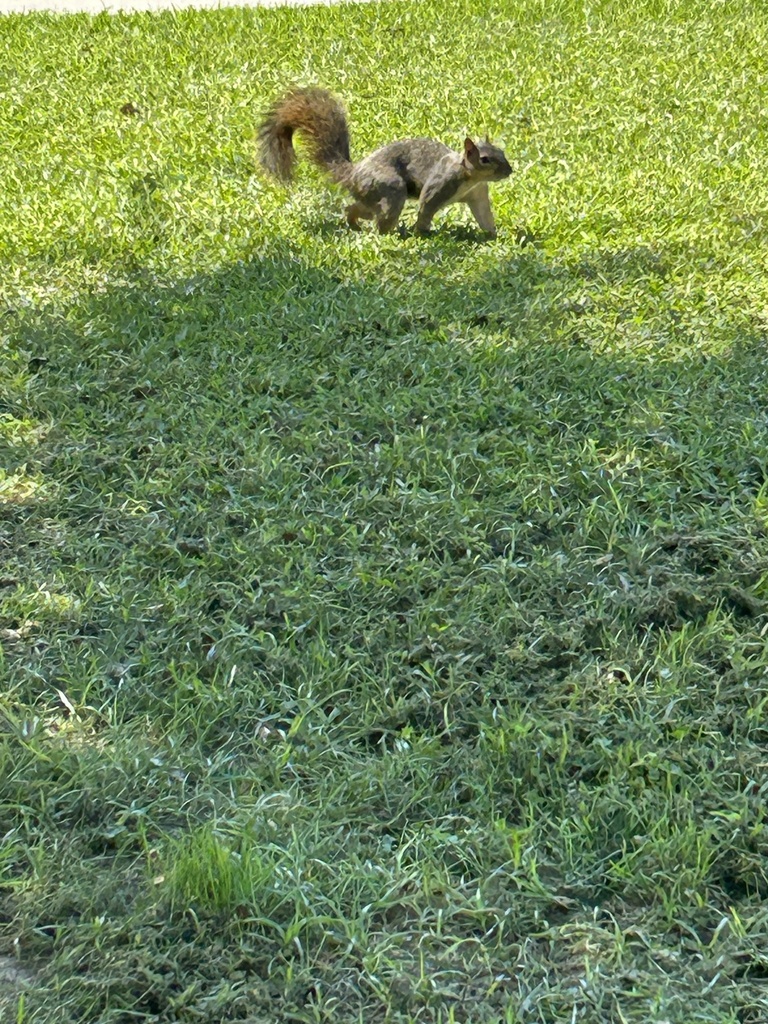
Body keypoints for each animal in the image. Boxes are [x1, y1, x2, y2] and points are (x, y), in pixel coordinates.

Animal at [257, 87, 512, 237]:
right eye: (485, 160)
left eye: (502, 151)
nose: (509, 171)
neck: (468, 178)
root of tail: (353, 174)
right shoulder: (439, 186)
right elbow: (425, 208)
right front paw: (423, 234)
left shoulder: (478, 194)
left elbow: (484, 216)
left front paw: (494, 236)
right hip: (390, 190)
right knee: (381, 221)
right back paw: (394, 235)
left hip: (373, 197)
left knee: (358, 209)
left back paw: (354, 223)